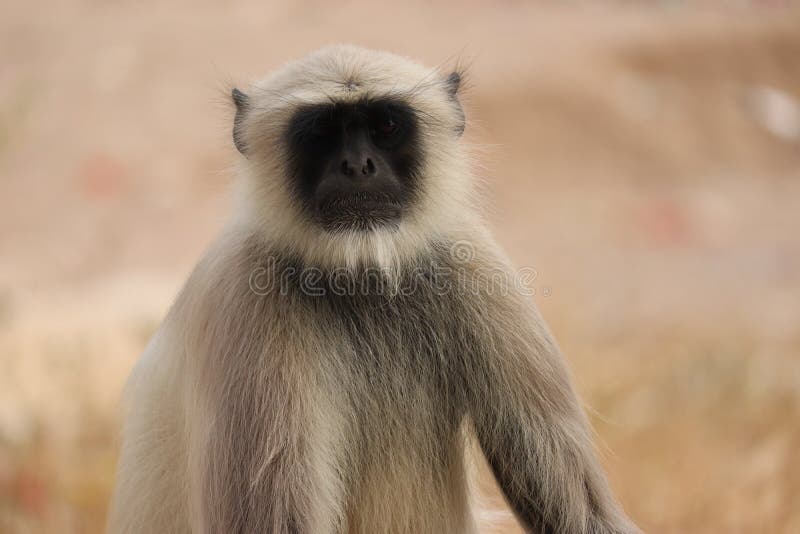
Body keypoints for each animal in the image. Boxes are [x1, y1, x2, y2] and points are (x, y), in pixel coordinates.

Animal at [107, 45, 639, 534]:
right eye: (322, 130)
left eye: (385, 125)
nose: (358, 165)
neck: (358, 275)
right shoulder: (244, 296)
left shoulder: (474, 262)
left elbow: (580, 512)